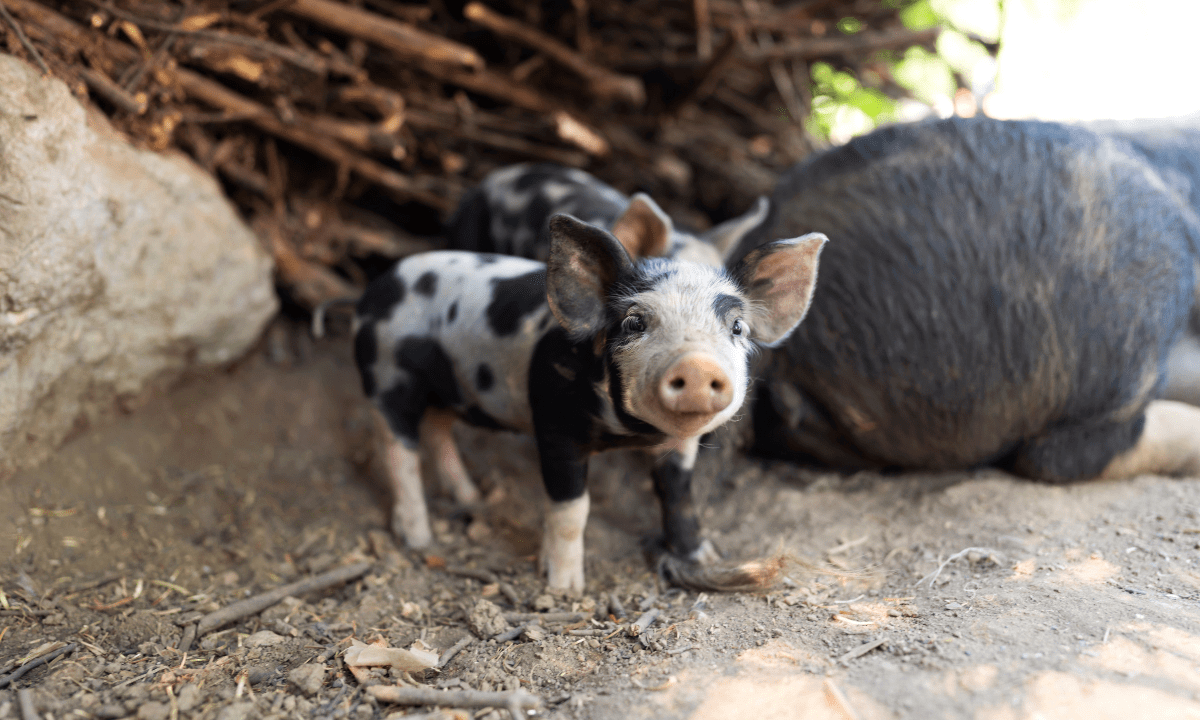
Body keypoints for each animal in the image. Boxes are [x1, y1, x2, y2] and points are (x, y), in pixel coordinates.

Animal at [352, 213, 826, 591]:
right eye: (634, 322)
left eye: (738, 327)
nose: (696, 365)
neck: (629, 434)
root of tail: (375, 290)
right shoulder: (554, 426)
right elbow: (571, 510)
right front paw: (565, 589)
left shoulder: (679, 447)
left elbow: (678, 494)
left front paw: (703, 557)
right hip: (388, 376)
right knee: (398, 450)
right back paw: (419, 538)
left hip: (447, 393)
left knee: (437, 431)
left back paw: (474, 500)